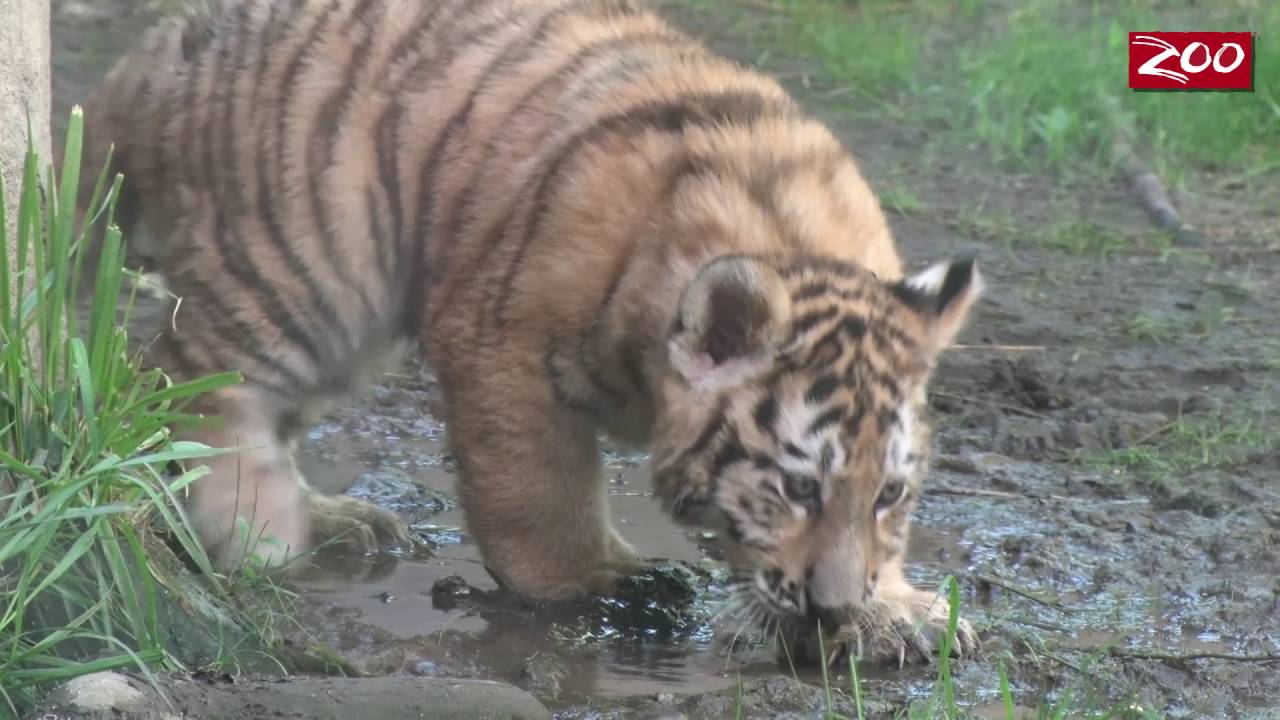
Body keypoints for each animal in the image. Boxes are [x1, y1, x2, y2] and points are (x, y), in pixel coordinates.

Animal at [77, 0, 983, 665]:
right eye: (797, 490)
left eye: (890, 494)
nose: (834, 607)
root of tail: (157, 51)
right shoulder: (503, 343)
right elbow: (537, 491)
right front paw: (594, 582)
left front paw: (900, 612)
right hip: (307, 266)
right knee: (184, 376)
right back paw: (255, 527)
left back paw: (335, 517)